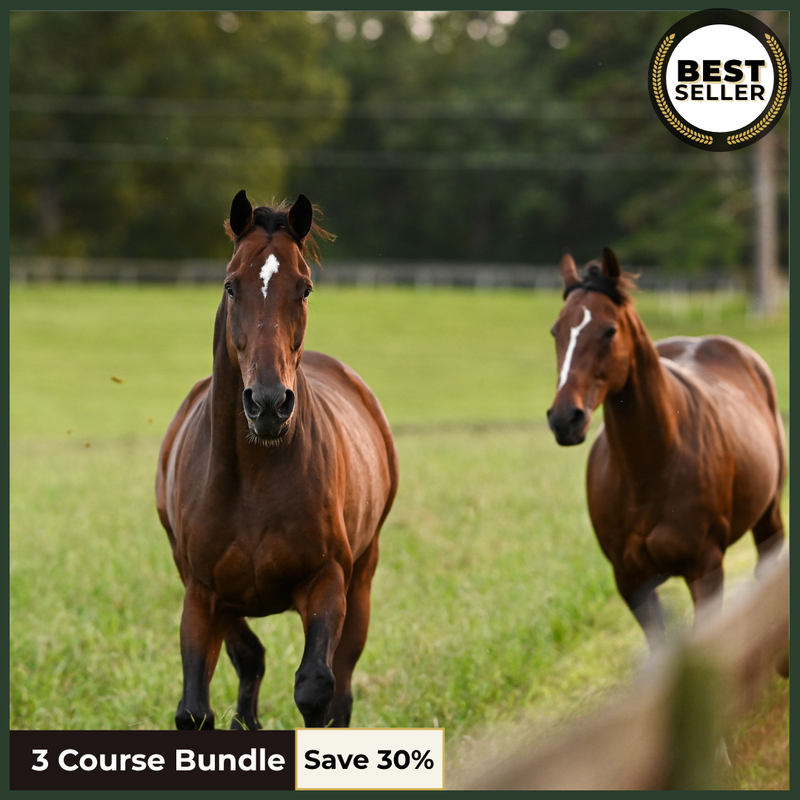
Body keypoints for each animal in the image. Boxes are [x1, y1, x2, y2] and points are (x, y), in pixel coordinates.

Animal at [156, 190, 399, 730]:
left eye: (304, 288)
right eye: (231, 285)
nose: (268, 403)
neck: (252, 479)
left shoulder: (326, 579)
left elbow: (316, 689)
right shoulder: (201, 593)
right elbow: (195, 709)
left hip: (362, 579)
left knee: (341, 686)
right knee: (251, 661)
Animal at [547, 248, 786, 649]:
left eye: (609, 330)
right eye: (557, 330)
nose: (565, 418)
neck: (649, 471)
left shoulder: (705, 570)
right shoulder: (631, 581)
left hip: (768, 518)